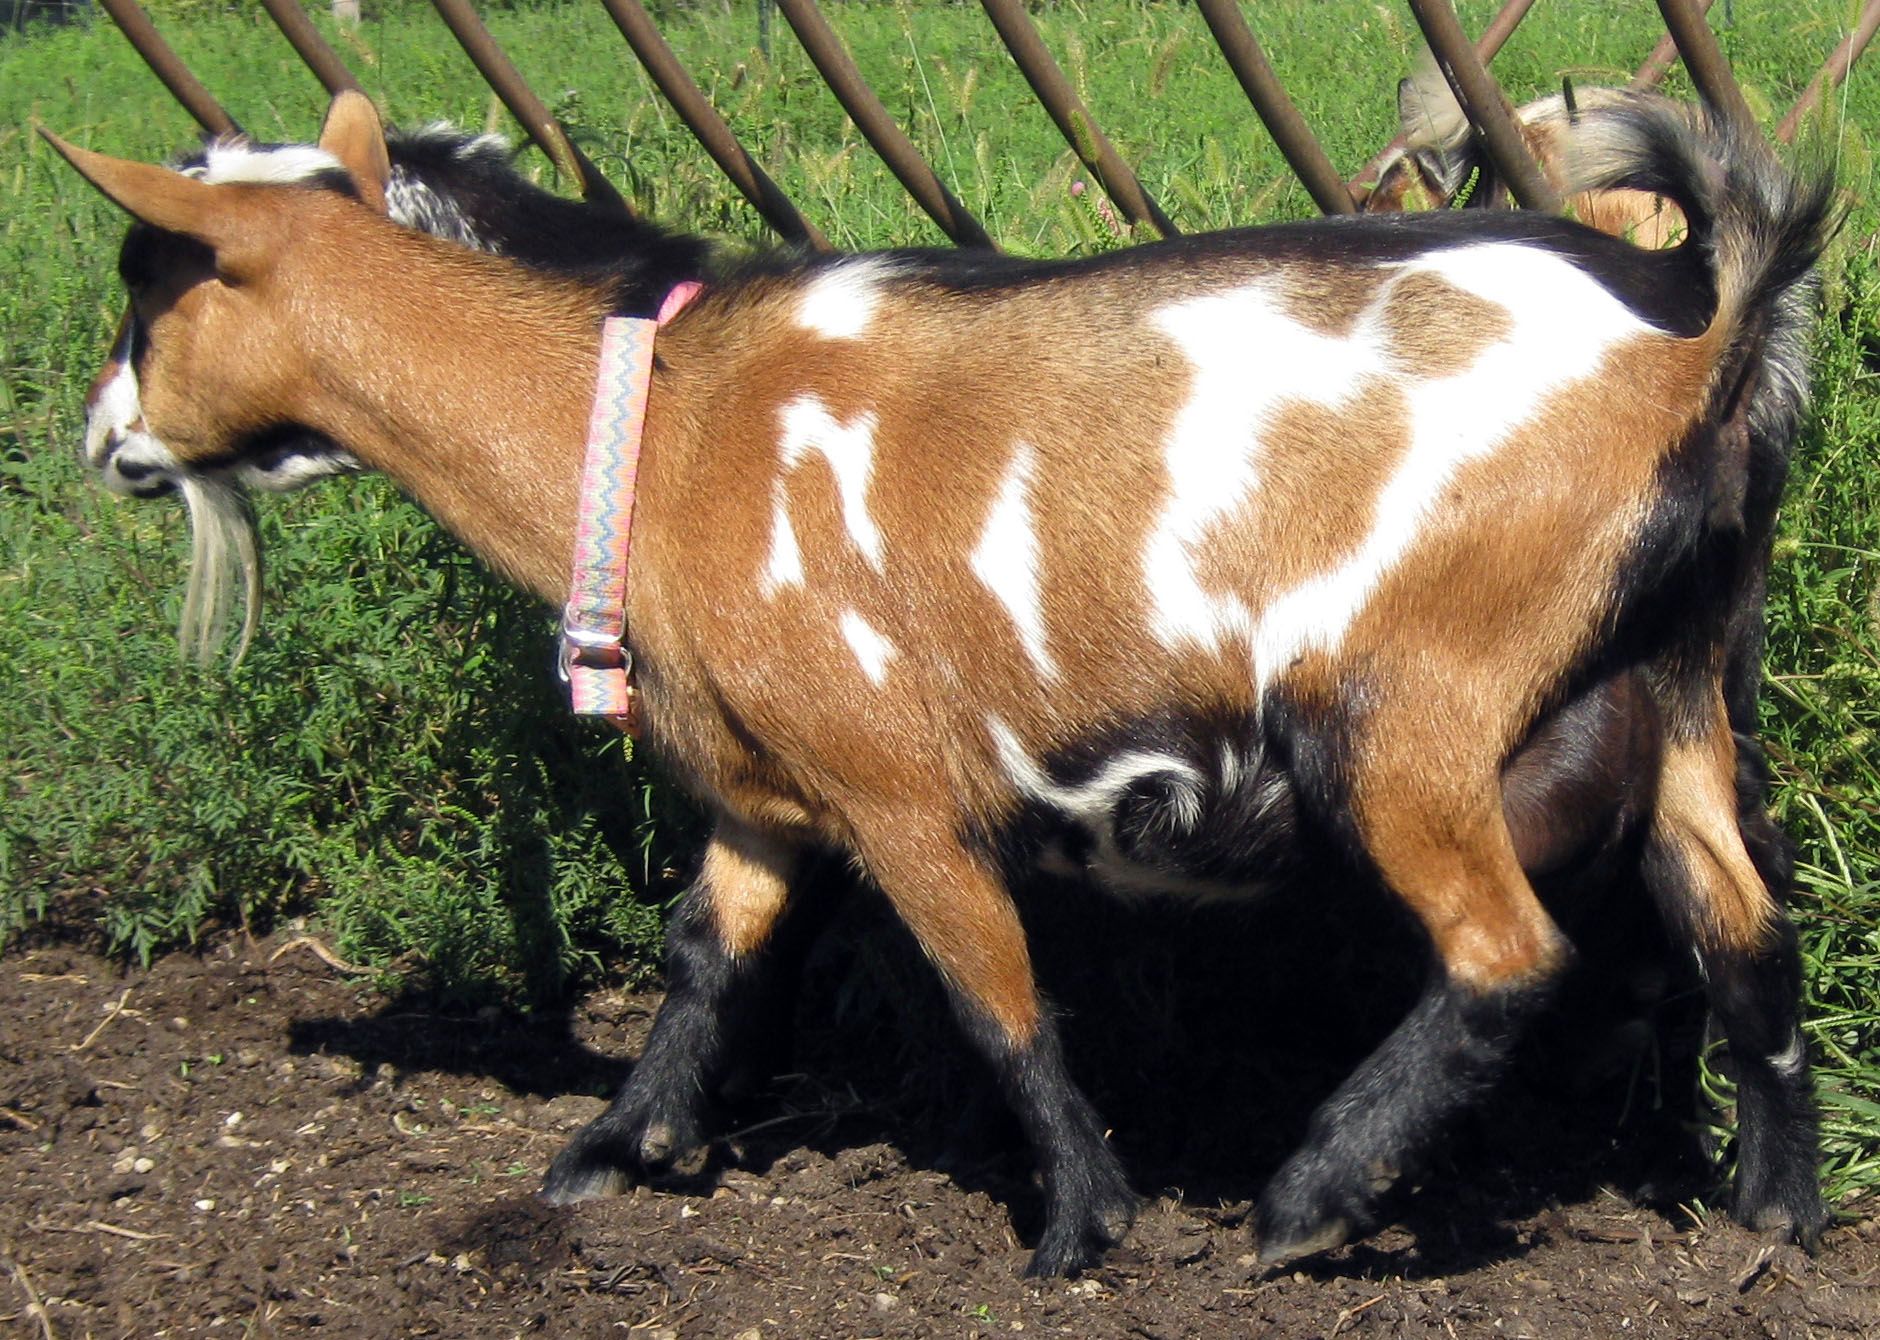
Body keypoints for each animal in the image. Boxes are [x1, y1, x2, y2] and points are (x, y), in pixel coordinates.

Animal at [49, 88, 1833, 1276]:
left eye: (151, 283)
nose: (99, 444)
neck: (664, 421)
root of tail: (1706, 332)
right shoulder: (766, 794)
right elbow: (707, 956)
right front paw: (613, 1153)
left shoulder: (897, 786)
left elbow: (995, 993)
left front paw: (1080, 1229)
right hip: (1681, 688)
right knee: (1745, 933)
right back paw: (1774, 1224)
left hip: (1411, 710)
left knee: (1507, 952)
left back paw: (1307, 1203)